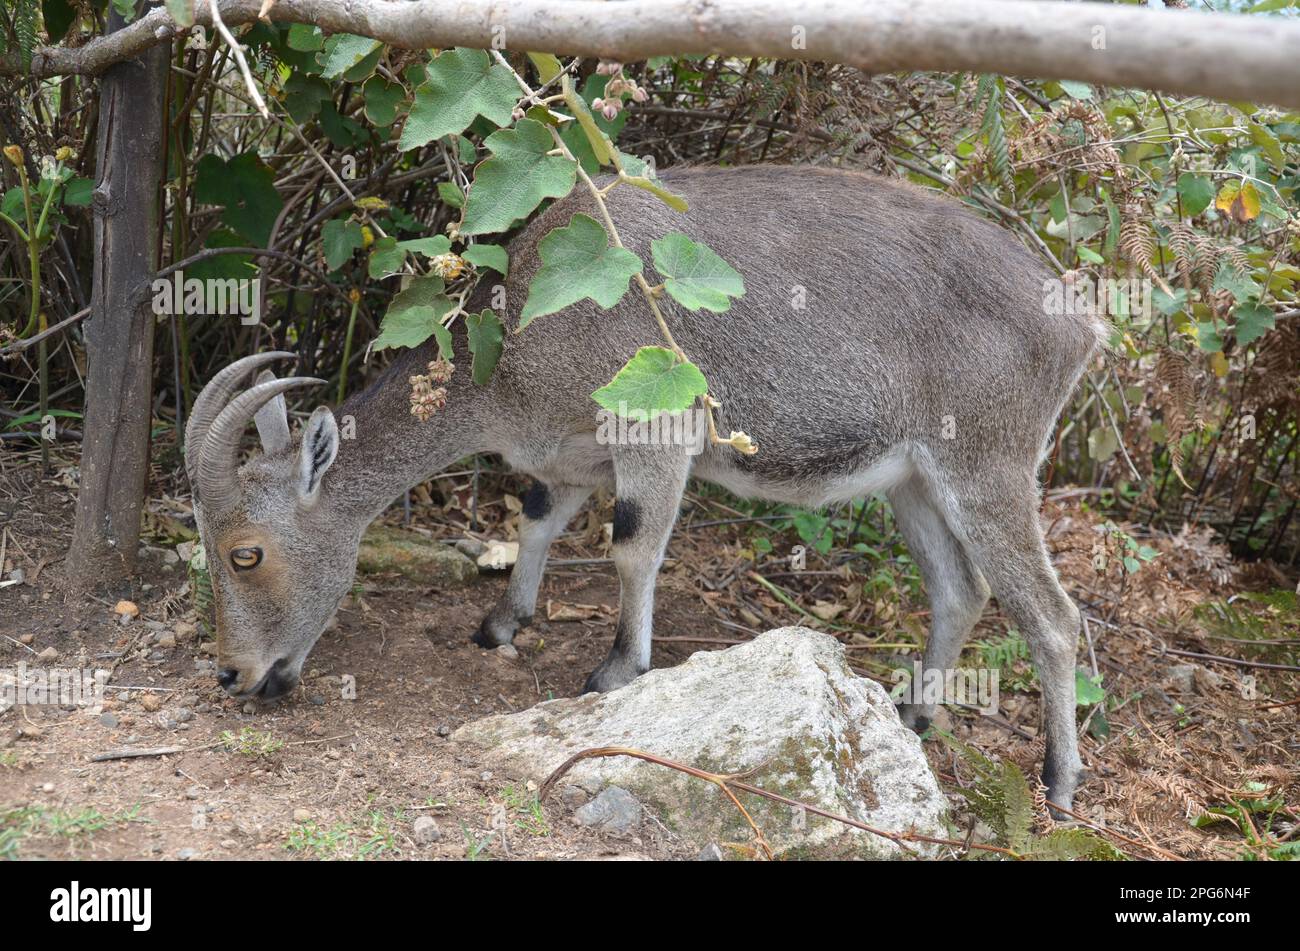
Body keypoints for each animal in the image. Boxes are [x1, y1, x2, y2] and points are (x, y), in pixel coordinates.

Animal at [186, 166, 1104, 809]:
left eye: (245, 552)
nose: (234, 673)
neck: (520, 344)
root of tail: (1080, 320)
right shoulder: (570, 457)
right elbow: (537, 521)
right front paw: (502, 622)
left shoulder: (656, 432)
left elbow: (631, 547)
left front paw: (616, 670)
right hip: (914, 478)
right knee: (960, 588)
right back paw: (914, 716)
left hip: (989, 462)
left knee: (1052, 617)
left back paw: (1059, 780)